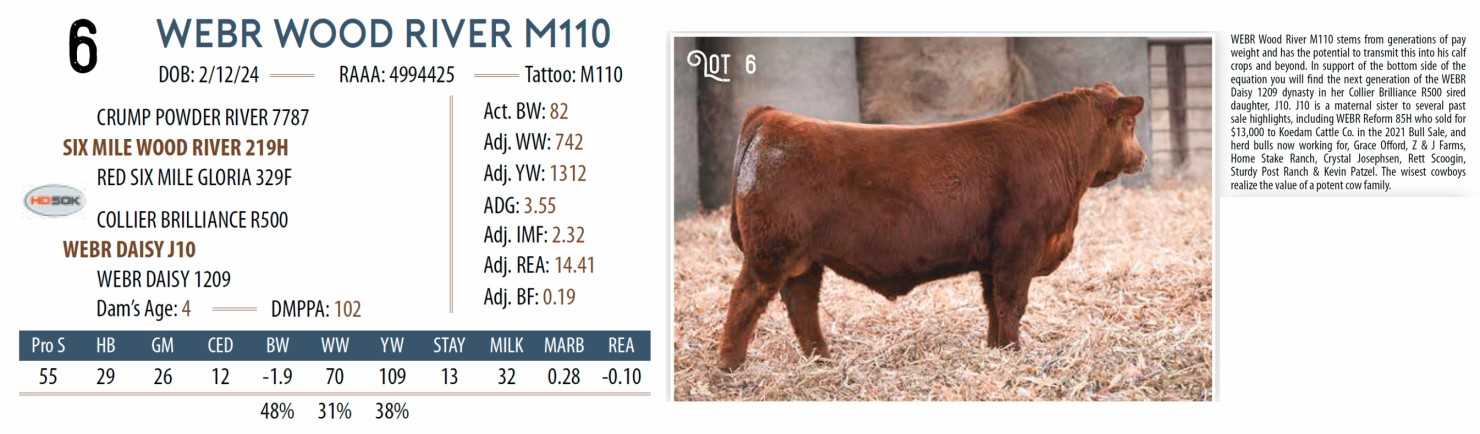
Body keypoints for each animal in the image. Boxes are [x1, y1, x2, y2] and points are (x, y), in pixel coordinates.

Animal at [719, 82, 1145, 371]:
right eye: (1128, 122)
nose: (1140, 157)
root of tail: (773, 116)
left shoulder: (993, 259)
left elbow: (993, 304)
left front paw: (996, 349)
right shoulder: (1018, 249)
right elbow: (1012, 304)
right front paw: (1013, 352)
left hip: (803, 260)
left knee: (802, 306)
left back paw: (821, 360)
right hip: (770, 254)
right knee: (745, 299)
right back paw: (729, 367)